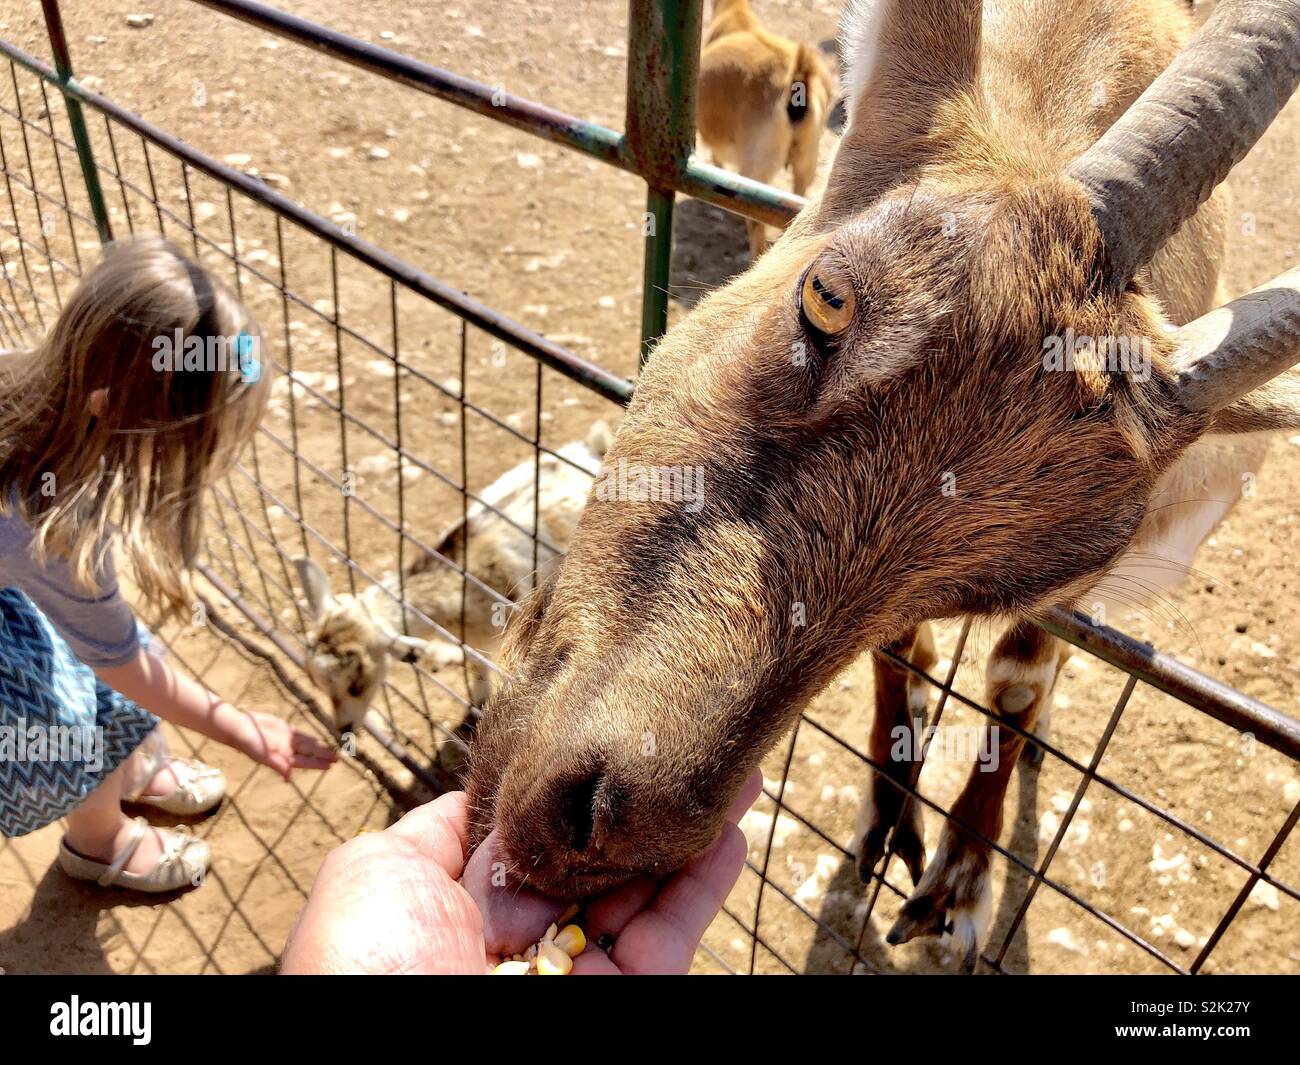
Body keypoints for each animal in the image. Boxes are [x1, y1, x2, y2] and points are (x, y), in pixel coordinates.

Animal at [293, 421, 609, 730]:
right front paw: (478, 700)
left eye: (356, 685)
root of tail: (593, 447)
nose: (344, 729)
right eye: (319, 684)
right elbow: (476, 665)